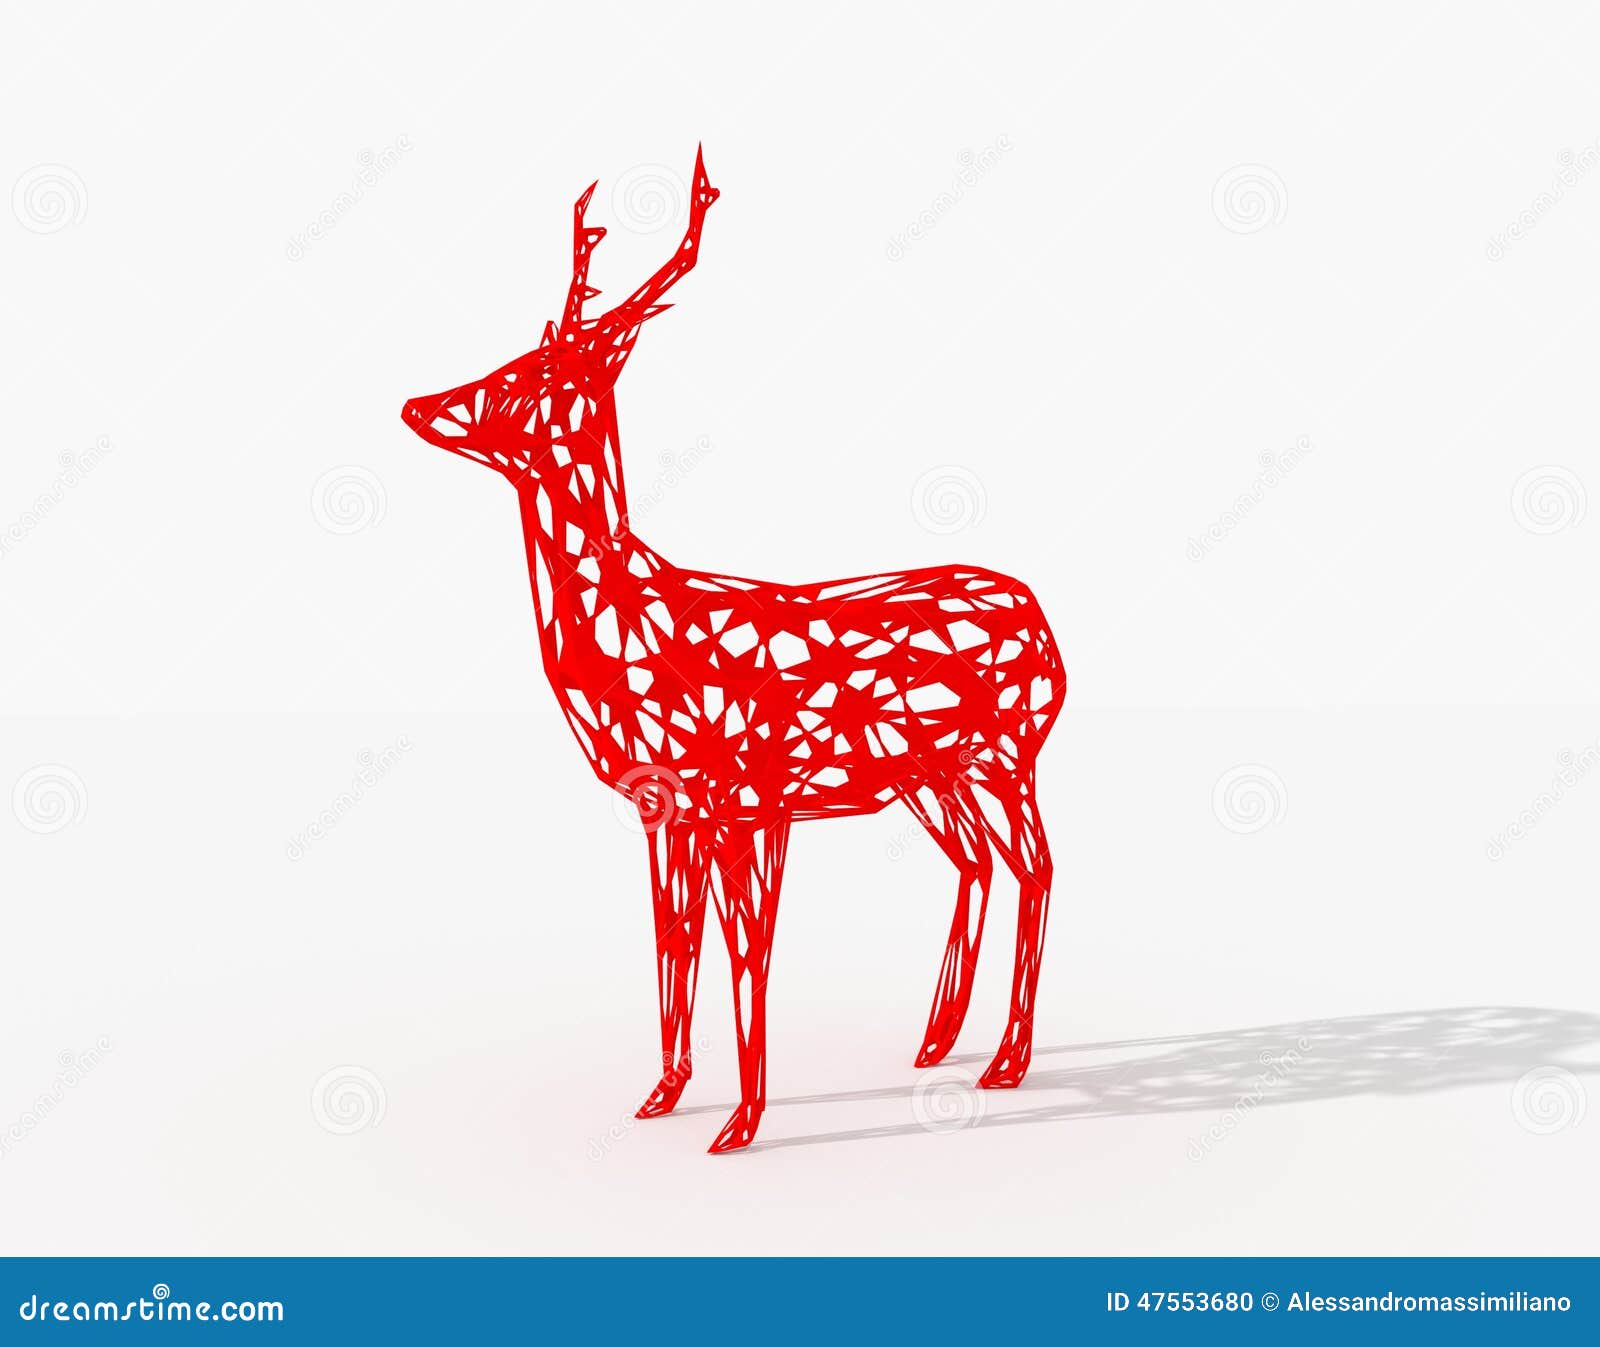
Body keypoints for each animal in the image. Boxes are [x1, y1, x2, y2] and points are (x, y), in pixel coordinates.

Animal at [401, 149, 1065, 1152]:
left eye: (528, 374)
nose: (416, 403)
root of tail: (1050, 628)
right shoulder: (666, 807)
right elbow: (673, 942)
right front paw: (662, 1094)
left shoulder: (743, 796)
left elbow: (748, 952)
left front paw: (740, 1125)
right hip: (932, 772)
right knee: (980, 863)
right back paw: (937, 1043)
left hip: (1004, 751)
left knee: (1037, 865)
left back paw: (1008, 1063)